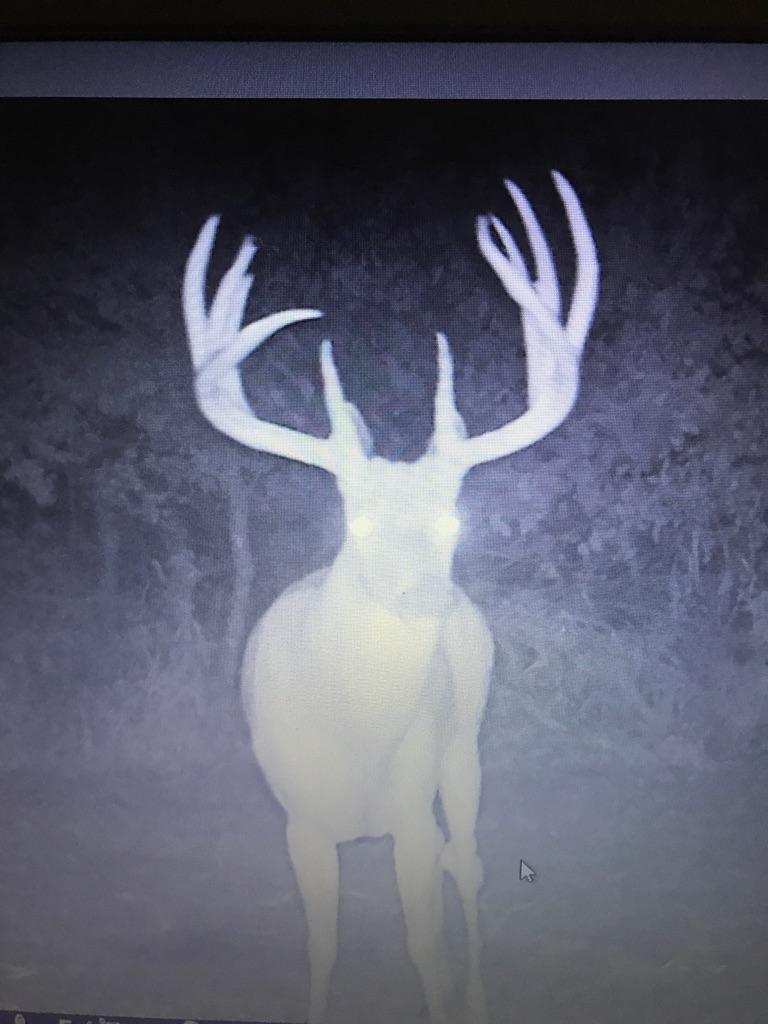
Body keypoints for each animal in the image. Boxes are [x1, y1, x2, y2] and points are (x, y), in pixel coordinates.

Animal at [181, 170, 599, 1024]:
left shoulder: (412, 808)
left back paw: (481, 993)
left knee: (468, 861)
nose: (426, 594)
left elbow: (425, 950)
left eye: (451, 518)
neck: (356, 735)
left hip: (465, 744)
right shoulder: (300, 820)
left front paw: (452, 995)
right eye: (360, 520)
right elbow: (322, 948)